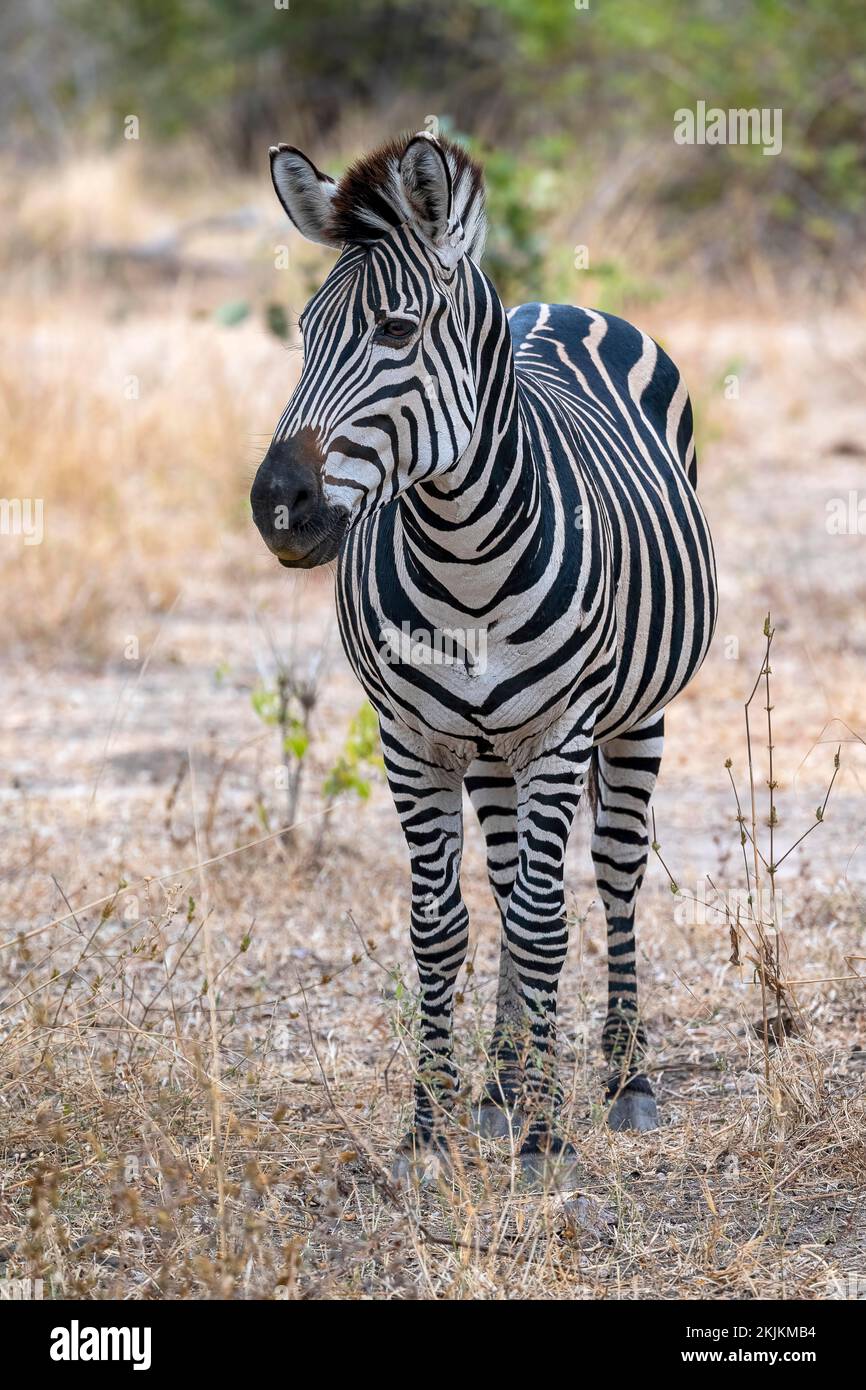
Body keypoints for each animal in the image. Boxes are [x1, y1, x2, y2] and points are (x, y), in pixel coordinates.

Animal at [250, 132, 717, 1185]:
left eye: (397, 330)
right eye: (302, 332)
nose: (277, 506)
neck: (464, 555)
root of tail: (561, 306)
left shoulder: (560, 731)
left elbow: (547, 923)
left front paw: (548, 1138)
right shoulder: (408, 737)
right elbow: (443, 927)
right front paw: (429, 1126)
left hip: (631, 719)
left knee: (612, 876)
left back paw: (622, 1080)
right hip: (489, 749)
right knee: (507, 885)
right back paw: (501, 1084)